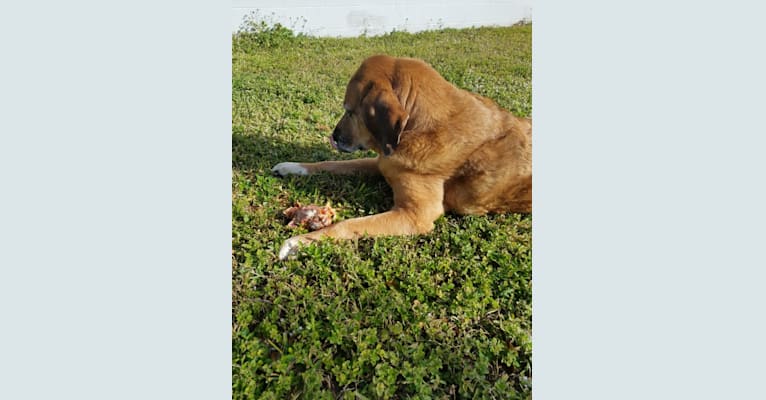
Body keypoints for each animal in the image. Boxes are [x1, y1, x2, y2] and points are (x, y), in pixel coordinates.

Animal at [272, 54, 532, 260]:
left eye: (350, 111)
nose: (333, 137)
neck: (417, 127)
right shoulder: (383, 163)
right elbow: (331, 164)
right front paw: (292, 167)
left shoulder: (415, 215)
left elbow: (348, 224)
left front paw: (299, 243)